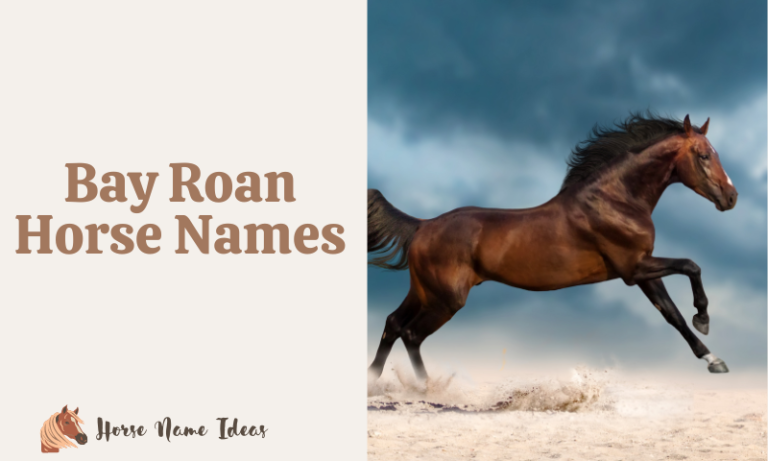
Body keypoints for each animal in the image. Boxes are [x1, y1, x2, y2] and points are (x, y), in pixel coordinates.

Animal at [368, 114, 738, 381]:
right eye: (704, 155)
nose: (731, 197)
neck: (615, 200)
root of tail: (423, 226)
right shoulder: (634, 268)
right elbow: (691, 265)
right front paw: (703, 318)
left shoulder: (644, 271)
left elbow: (672, 314)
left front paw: (713, 359)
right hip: (446, 299)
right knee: (411, 334)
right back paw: (427, 388)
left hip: (424, 292)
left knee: (393, 323)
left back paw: (374, 382)